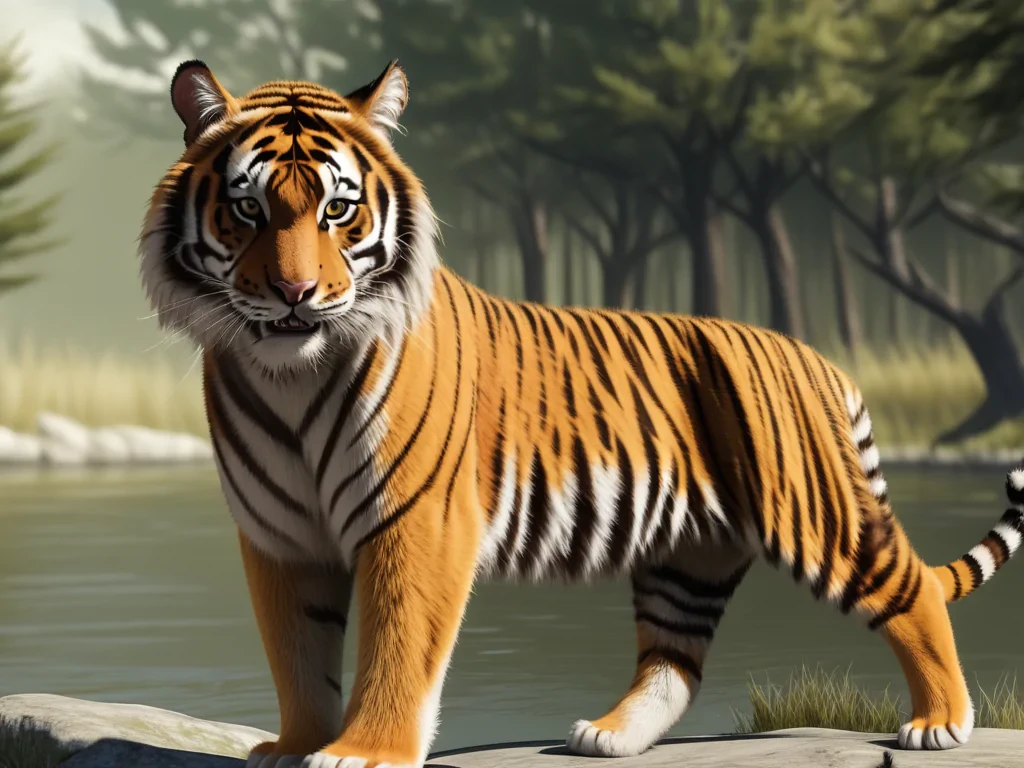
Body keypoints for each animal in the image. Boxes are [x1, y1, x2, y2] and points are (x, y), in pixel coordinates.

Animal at [140, 58, 1024, 768]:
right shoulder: (281, 531)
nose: (295, 294)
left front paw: (364, 752)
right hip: (690, 553)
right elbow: (296, 650)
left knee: (912, 589)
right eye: (249, 210)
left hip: (816, 515)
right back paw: (607, 735)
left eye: (336, 210)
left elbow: (395, 644)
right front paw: (293, 745)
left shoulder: (416, 520)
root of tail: (815, 356)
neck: (289, 375)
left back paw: (939, 724)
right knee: (675, 661)